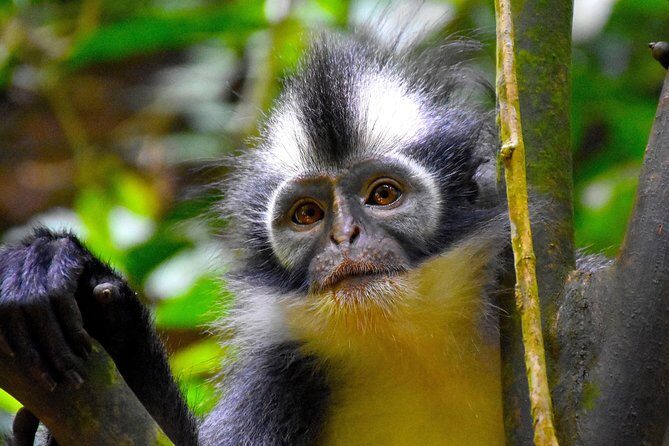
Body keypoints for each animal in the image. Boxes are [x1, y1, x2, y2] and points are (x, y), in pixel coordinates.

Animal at [0, 31, 508, 445]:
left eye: (383, 194)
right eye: (308, 214)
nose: (344, 236)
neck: (413, 350)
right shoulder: (279, 379)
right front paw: (93, 299)